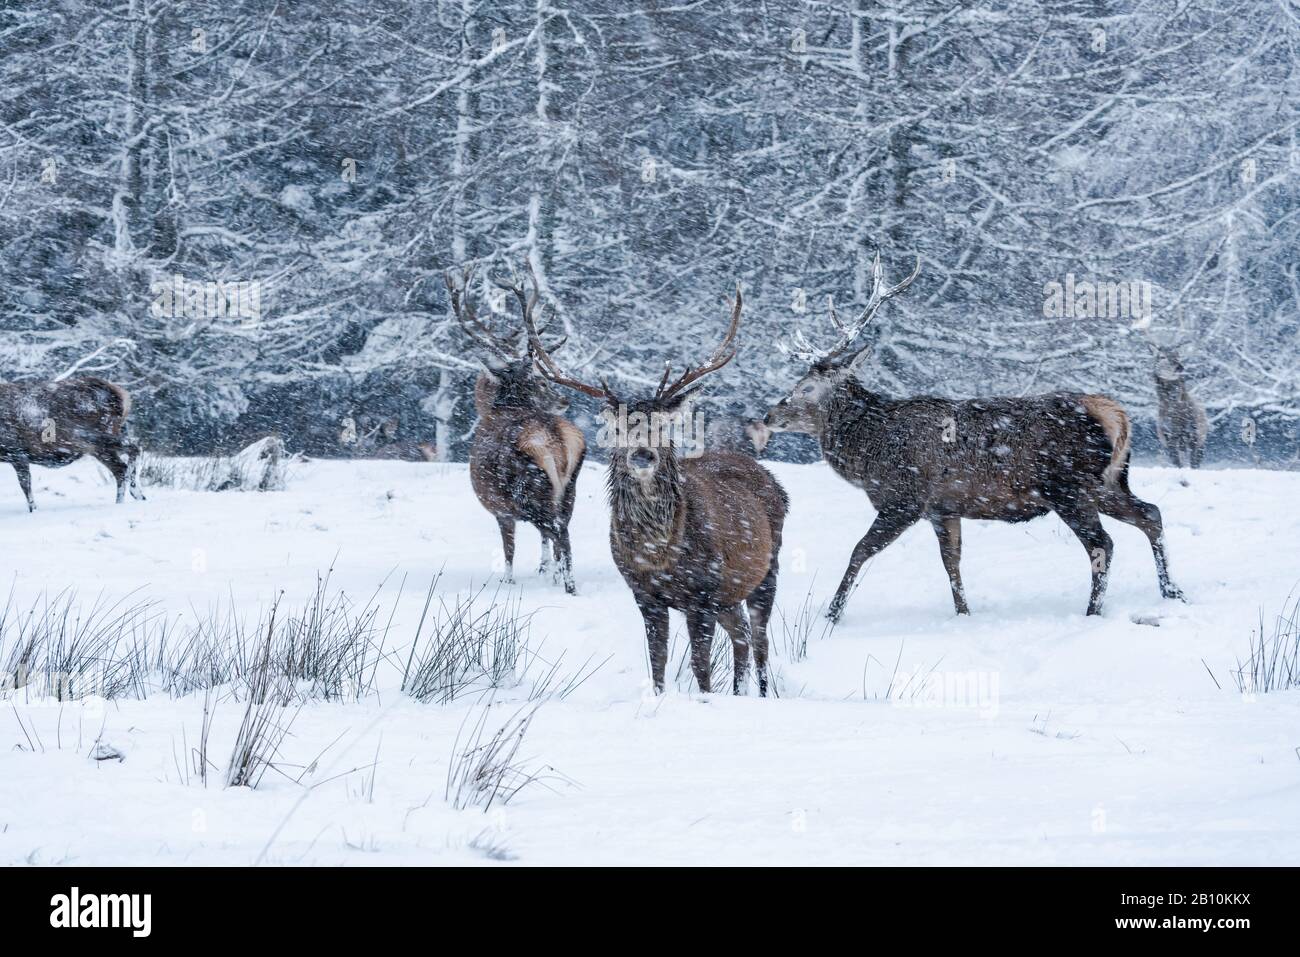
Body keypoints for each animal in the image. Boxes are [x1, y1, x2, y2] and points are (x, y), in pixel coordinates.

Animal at [0, 376, 144, 511]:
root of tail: (121, 396)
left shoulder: (17, 452)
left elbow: (25, 486)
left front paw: (33, 510)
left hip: (92, 437)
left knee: (132, 449)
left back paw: (133, 493)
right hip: (97, 447)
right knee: (120, 468)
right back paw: (131, 499)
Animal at [446, 263, 585, 593]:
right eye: (540, 379)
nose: (564, 399)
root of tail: (557, 438)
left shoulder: (500, 509)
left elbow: (508, 549)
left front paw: (507, 580)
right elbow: (543, 545)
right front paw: (545, 571)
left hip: (531, 493)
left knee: (557, 532)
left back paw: (569, 586)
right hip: (569, 489)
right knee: (561, 531)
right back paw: (565, 580)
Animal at [524, 284, 788, 696]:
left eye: (662, 425)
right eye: (618, 428)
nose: (643, 454)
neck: (659, 554)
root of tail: (773, 481)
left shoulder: (702, 593)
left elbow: (699, 666)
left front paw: (706, 702)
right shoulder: (644, 593)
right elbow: (658, 660)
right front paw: (662, 698)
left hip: (767, 568)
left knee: (760, 639)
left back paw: (760, 695)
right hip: (730, 594)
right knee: (742, 635)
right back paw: (739, 693)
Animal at [764, 253, 1185, 622]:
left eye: (805, 387)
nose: (769, 415)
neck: (870, 452)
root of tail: (1114, 413)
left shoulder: (905, 499)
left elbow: (859, 551)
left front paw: (831, 614)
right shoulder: (944, 508)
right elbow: (951, 560)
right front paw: (963, 613)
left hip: (1068, 487)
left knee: (1102, 543)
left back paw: (1093, 611)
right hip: (1108, 482)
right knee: (1151, 513)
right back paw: (1172, 591)